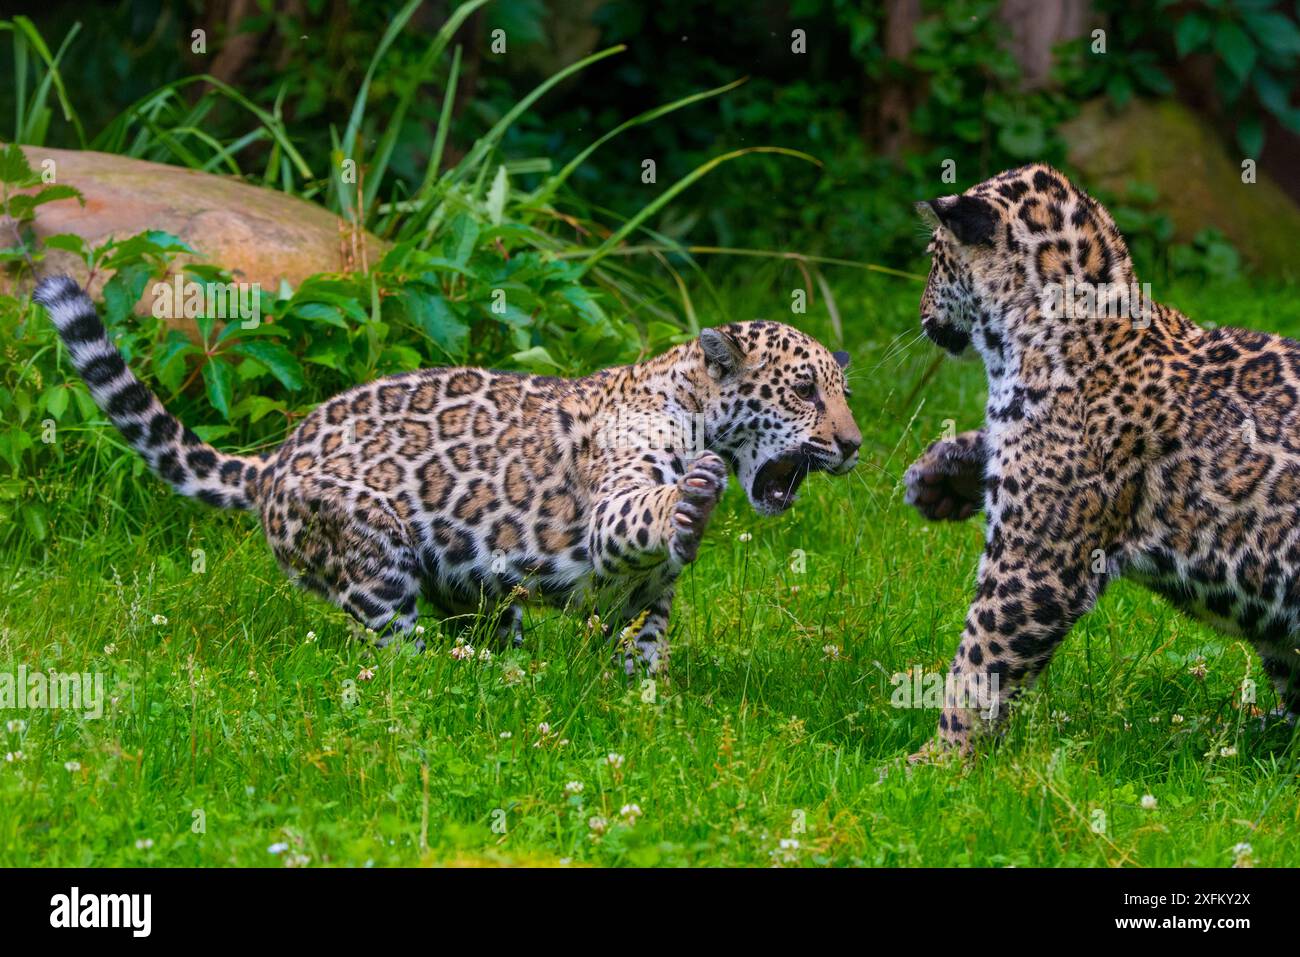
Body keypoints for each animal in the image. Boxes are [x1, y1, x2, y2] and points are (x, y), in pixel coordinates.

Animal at [35, 275, 861, 672]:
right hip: (373, 556)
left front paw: (645, 710)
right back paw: (451, 686)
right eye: (803, 391)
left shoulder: (648, 596)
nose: (853, 444)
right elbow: (637, 513)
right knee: (399, 656)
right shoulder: (613, 512)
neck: (693, 406)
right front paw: (687, 504)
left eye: (841, 391)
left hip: (475, 585)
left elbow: (644, 647)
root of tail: (272, 462)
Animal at [903, 162, 1300, 759]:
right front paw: (938, 476)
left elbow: (977, 668)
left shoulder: (1036, 565)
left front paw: (936, 762)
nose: (923, 316)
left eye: (934, 256)